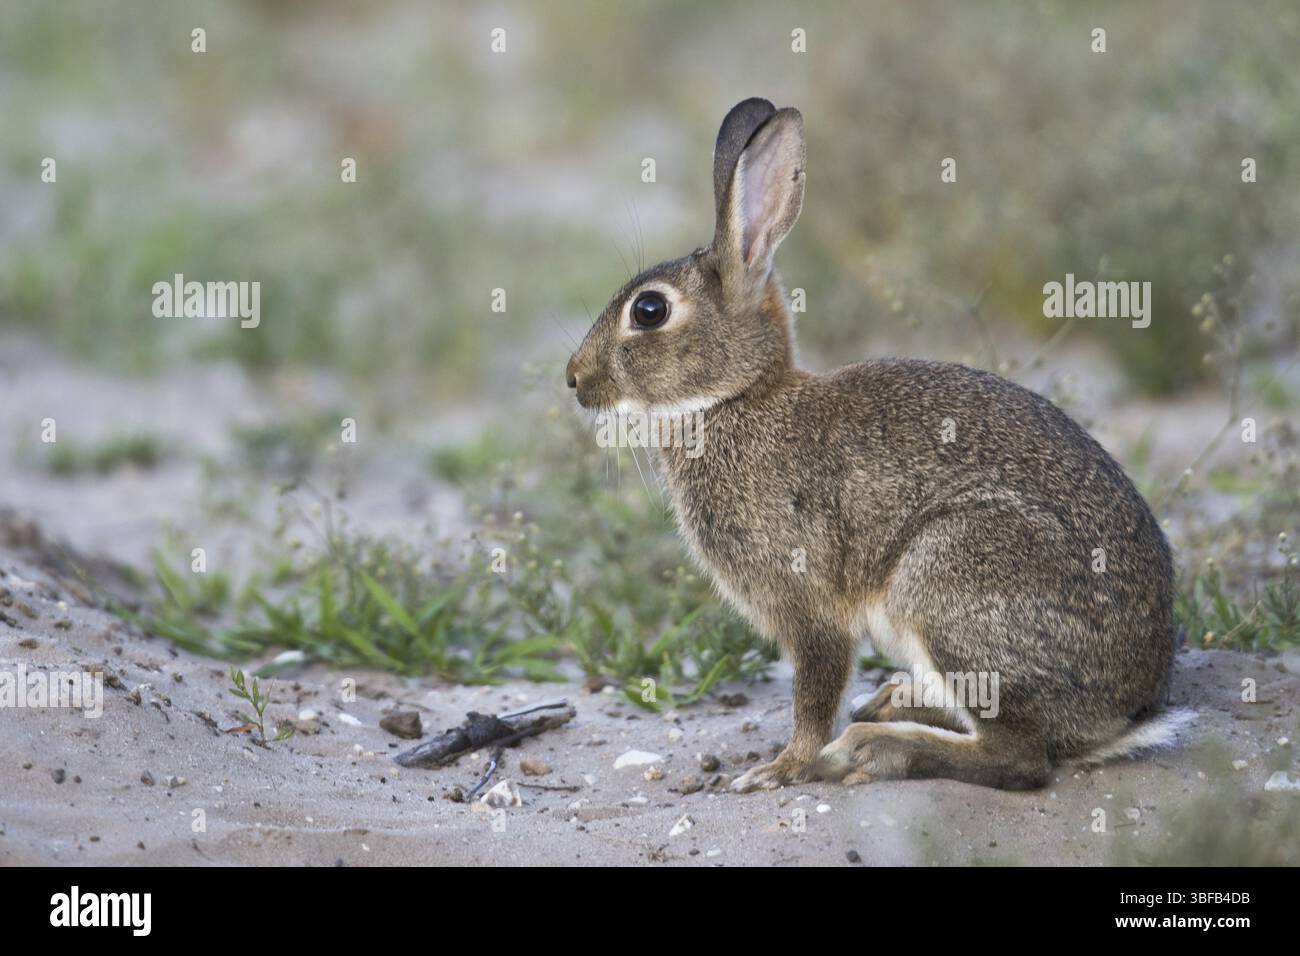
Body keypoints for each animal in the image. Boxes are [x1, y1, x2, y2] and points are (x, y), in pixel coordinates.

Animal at [565, 97, 1192, 791]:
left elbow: (815, 695)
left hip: (951, 578)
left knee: (1020, 758)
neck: (739, 397)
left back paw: (875, 747)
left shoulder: (810, 603)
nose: (574, 379)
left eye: (649, 311)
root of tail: (1127, 708)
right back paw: (892, 704)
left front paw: (779, 769)